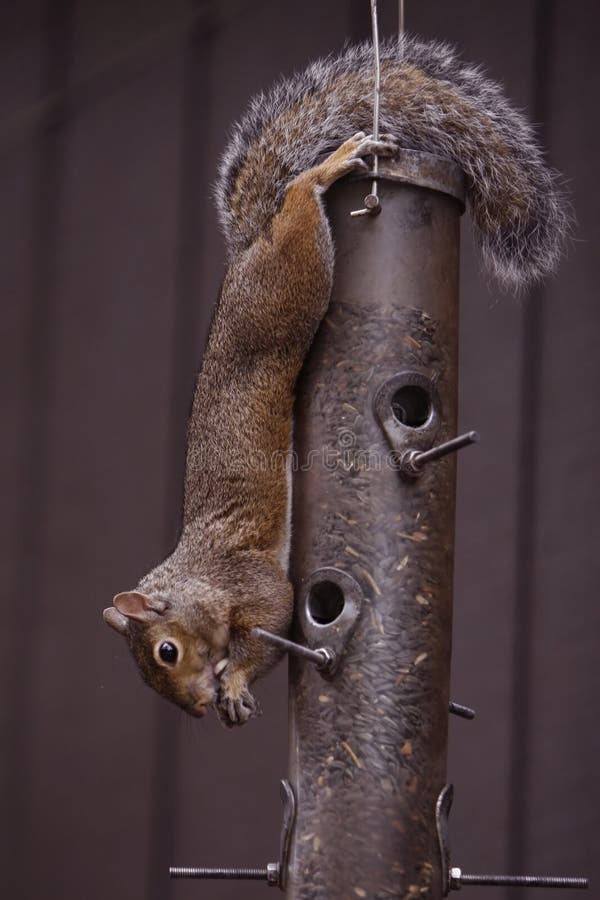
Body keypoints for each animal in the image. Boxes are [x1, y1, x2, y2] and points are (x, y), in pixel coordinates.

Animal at [103, 36, 569, 726]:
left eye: (165, 651)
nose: (196, 708)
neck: (199, 576)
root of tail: (250, 246)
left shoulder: (254, 586)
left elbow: (274, 622)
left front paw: (234, 683)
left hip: (292, 276)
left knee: (301, 198)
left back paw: (333, 165)